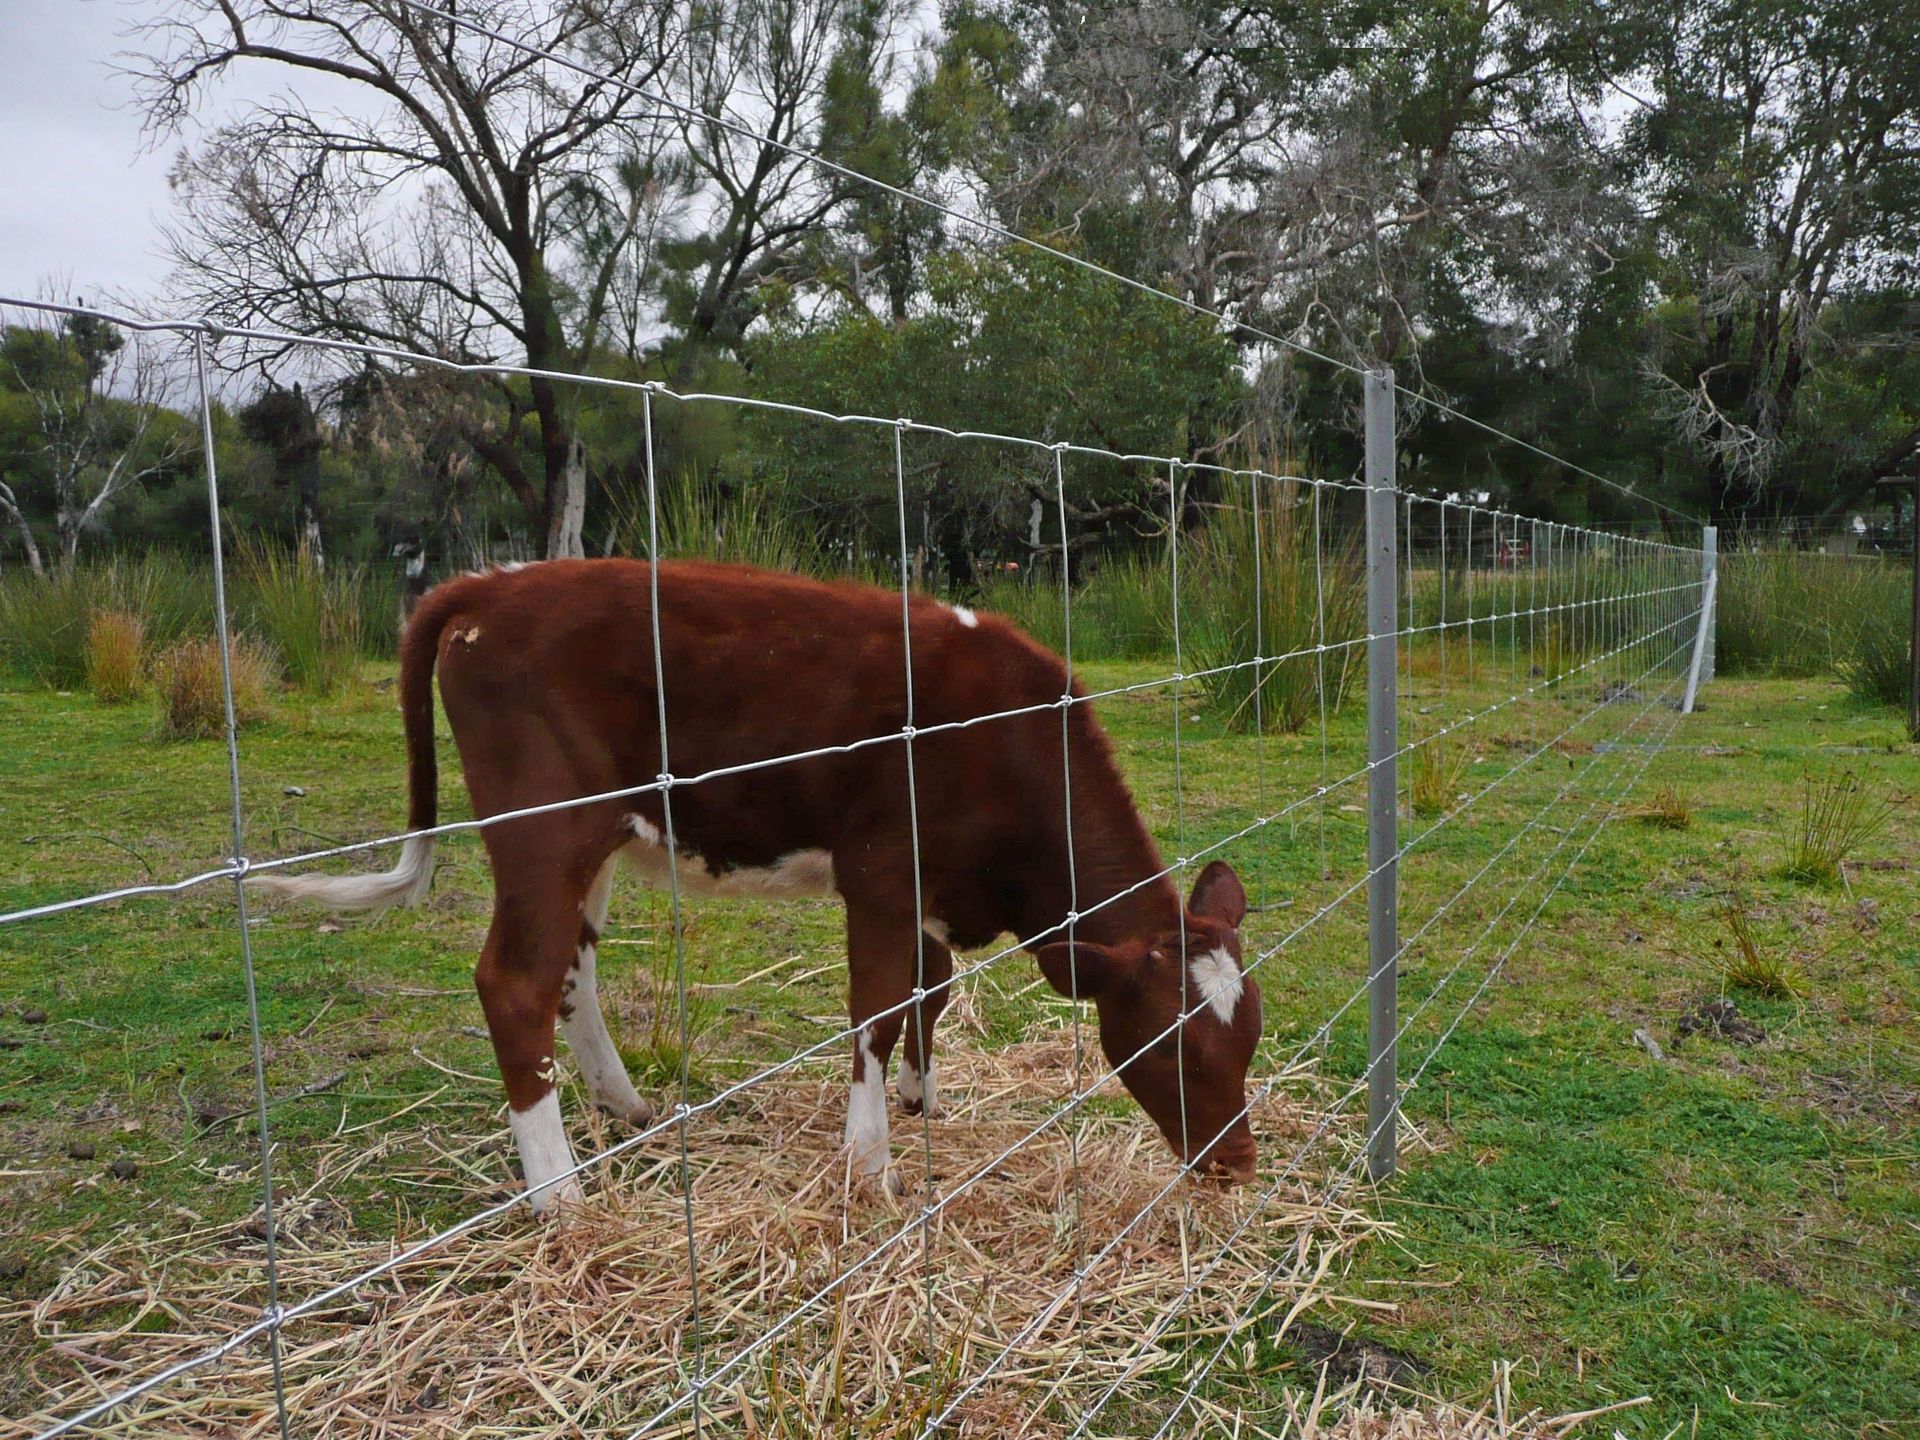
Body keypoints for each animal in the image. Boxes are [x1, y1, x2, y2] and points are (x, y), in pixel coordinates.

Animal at [251, 558, 1262, 1213]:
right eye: (1171, 1050)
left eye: (1247, 1041)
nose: (1239, 1166)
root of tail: (487, 585)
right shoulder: (882, 870)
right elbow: (878, 1010)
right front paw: (871, 1166)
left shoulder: (930, 891)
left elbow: (930, 994)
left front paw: (922, 1102)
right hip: (543, 828)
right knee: (516, 982)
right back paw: (560, 1194)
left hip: (598, 838)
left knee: (572, 969)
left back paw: (626, 1108)